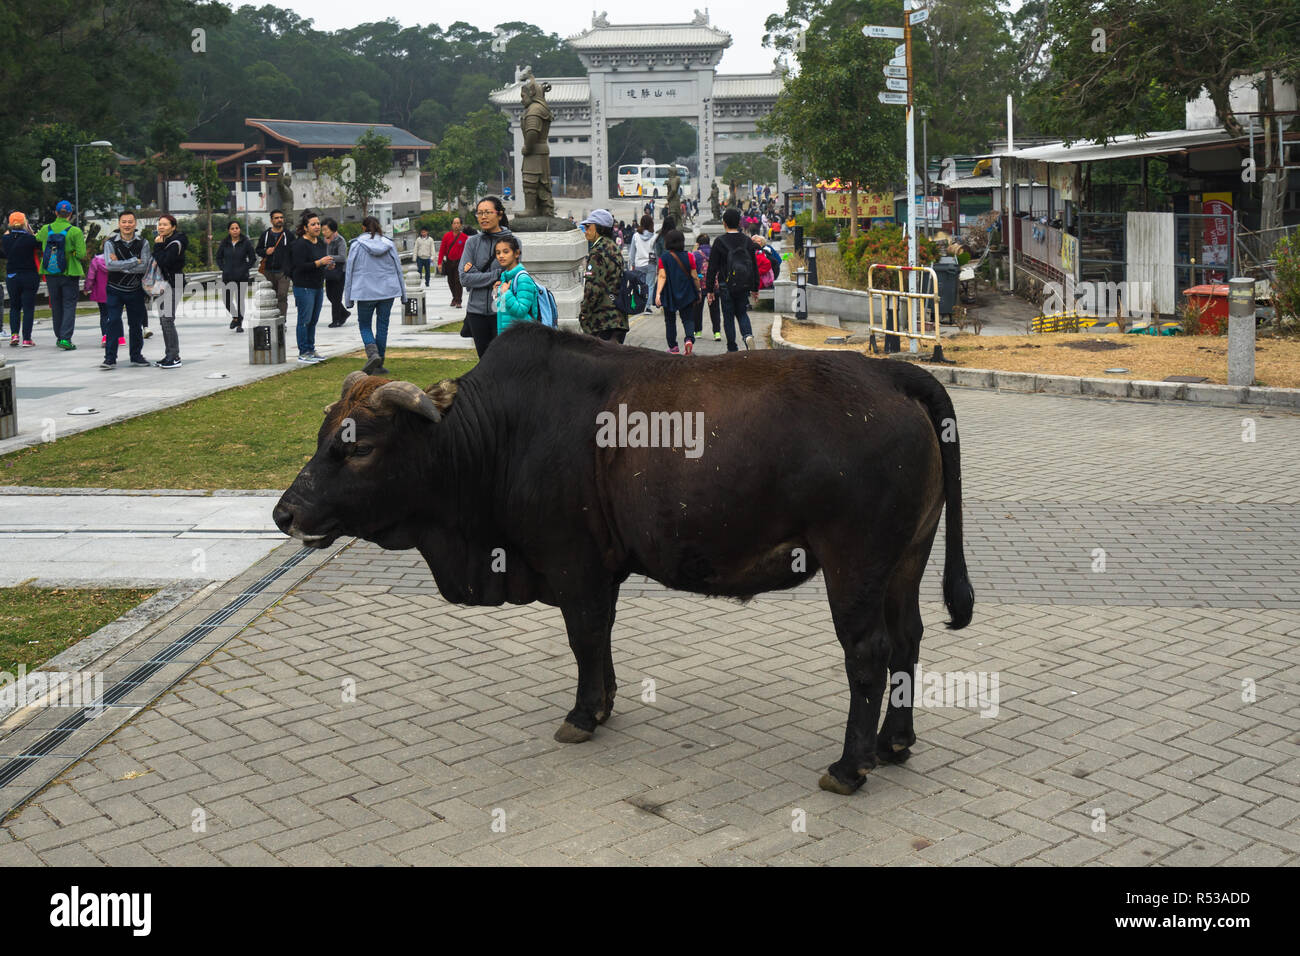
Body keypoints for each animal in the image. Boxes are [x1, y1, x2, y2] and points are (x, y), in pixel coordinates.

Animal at [274, 323, 974, 794]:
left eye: (358, 448)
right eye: (321, 437)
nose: (285, 513)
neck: (500, 433)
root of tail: (890, 373)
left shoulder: (572, 561)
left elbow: (583, 636)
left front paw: (584, 712)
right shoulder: (600, 567)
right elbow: (601, 636)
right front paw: (605, 701)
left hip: (854, 564)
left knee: (869, 653)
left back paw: (852, 764)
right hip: (905, 559)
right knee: (907, 638)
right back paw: (894, 740)